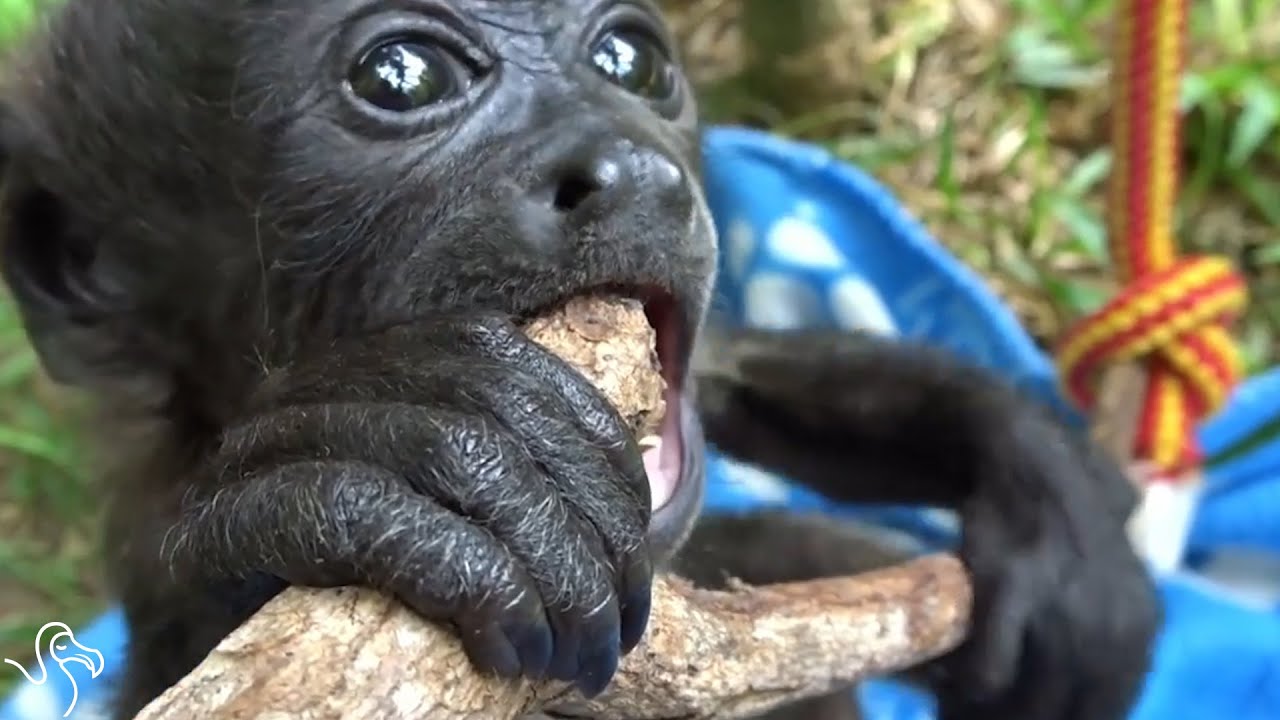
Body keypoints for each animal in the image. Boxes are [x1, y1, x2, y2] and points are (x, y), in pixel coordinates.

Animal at [0, 1, 1159, 719]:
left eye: (629, 61)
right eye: (400, 75)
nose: (630, 170)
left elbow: (745, 375)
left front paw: (1051, 497)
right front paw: (384, 456)